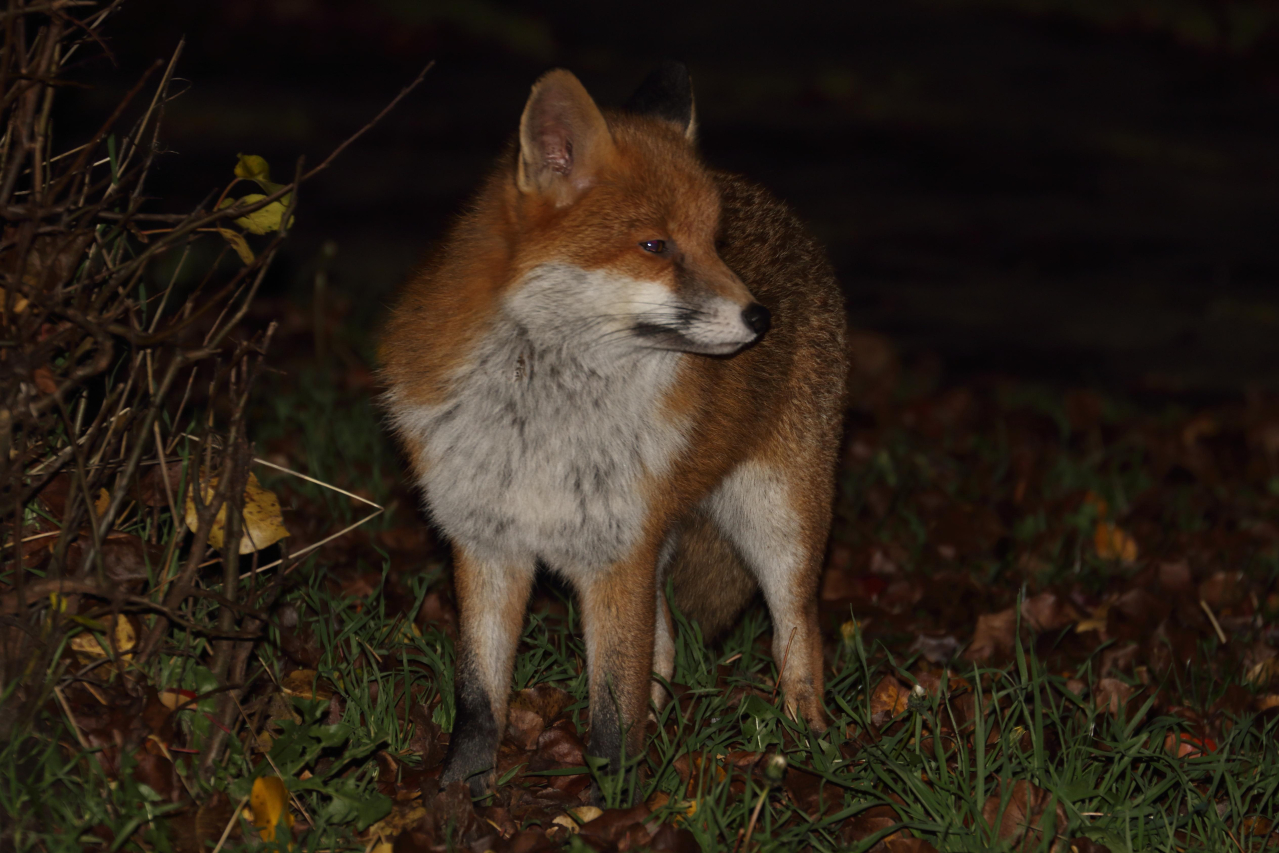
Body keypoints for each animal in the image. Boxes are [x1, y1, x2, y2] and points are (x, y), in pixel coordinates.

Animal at [380, 62, 847, 796]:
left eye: (716, 243)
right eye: (655, 246)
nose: (760, 318)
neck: (539, 423)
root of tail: (780, 208)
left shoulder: (616, 552)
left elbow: (610, 708)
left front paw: (613, 799)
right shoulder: (487, 542)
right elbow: (480, 697)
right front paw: (459, 791)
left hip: (778, 522)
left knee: (796, 637)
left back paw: (808, 746)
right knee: (666, 642)